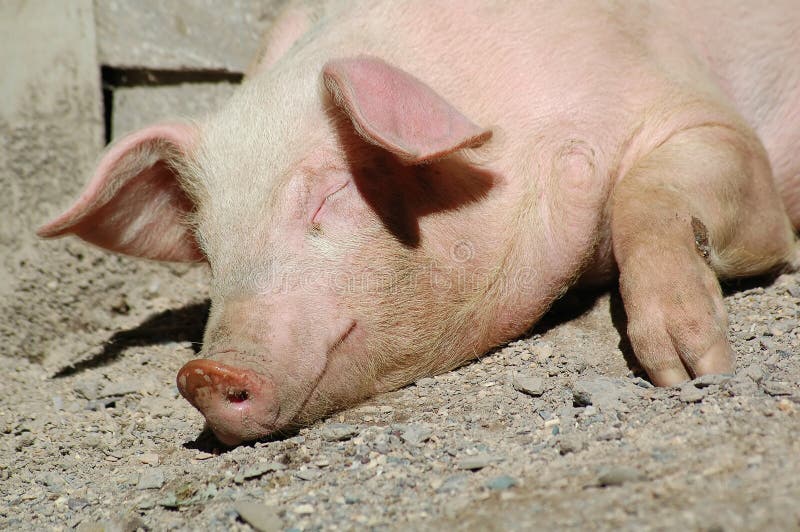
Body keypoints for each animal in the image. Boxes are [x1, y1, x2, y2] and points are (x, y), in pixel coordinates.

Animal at [38, 0, 799, 445]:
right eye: (209, 243)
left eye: (331, 193)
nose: (204, 370)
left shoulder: (705, 117)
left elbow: (655, 192)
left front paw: (690, 369)